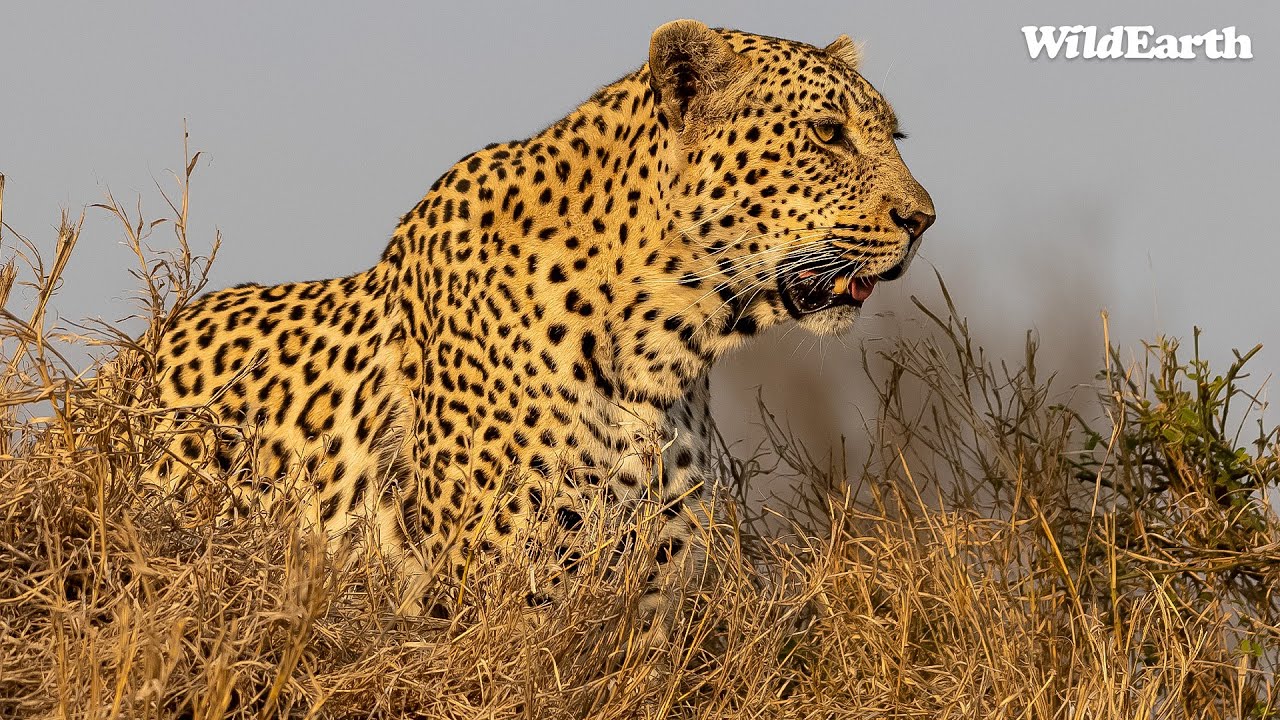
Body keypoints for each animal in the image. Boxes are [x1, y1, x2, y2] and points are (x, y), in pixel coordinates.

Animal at [144, 19, 935, 644]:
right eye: (827, 134)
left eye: (893, 136)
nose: (923, 219)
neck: (669, 343)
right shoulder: (499, 585)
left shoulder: (657, 590)